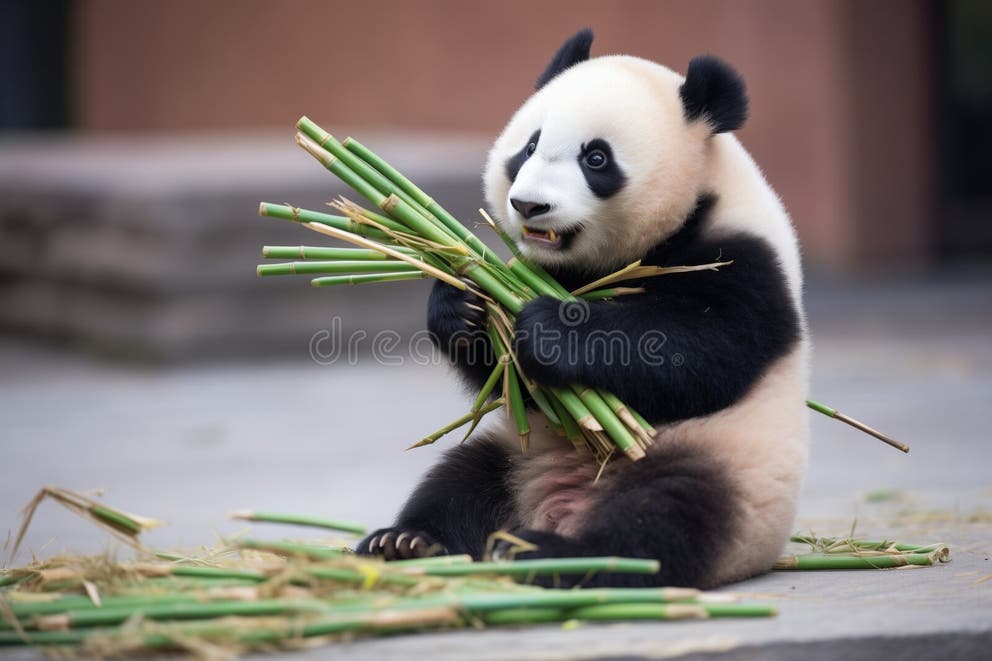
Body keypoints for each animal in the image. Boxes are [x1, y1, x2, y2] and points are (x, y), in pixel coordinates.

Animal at [357, 28, 809, 589]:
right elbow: (509, 383)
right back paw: (407, 542)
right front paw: (463, 304)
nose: (529, 205)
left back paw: (553, 557)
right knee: (459, 482)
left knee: (661, 520)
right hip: (516, 452)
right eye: (529, 146)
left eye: (596, 159)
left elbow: (699, 351)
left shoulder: (744, 263)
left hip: (721, 465)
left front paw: (549, 331)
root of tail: (560, 504)